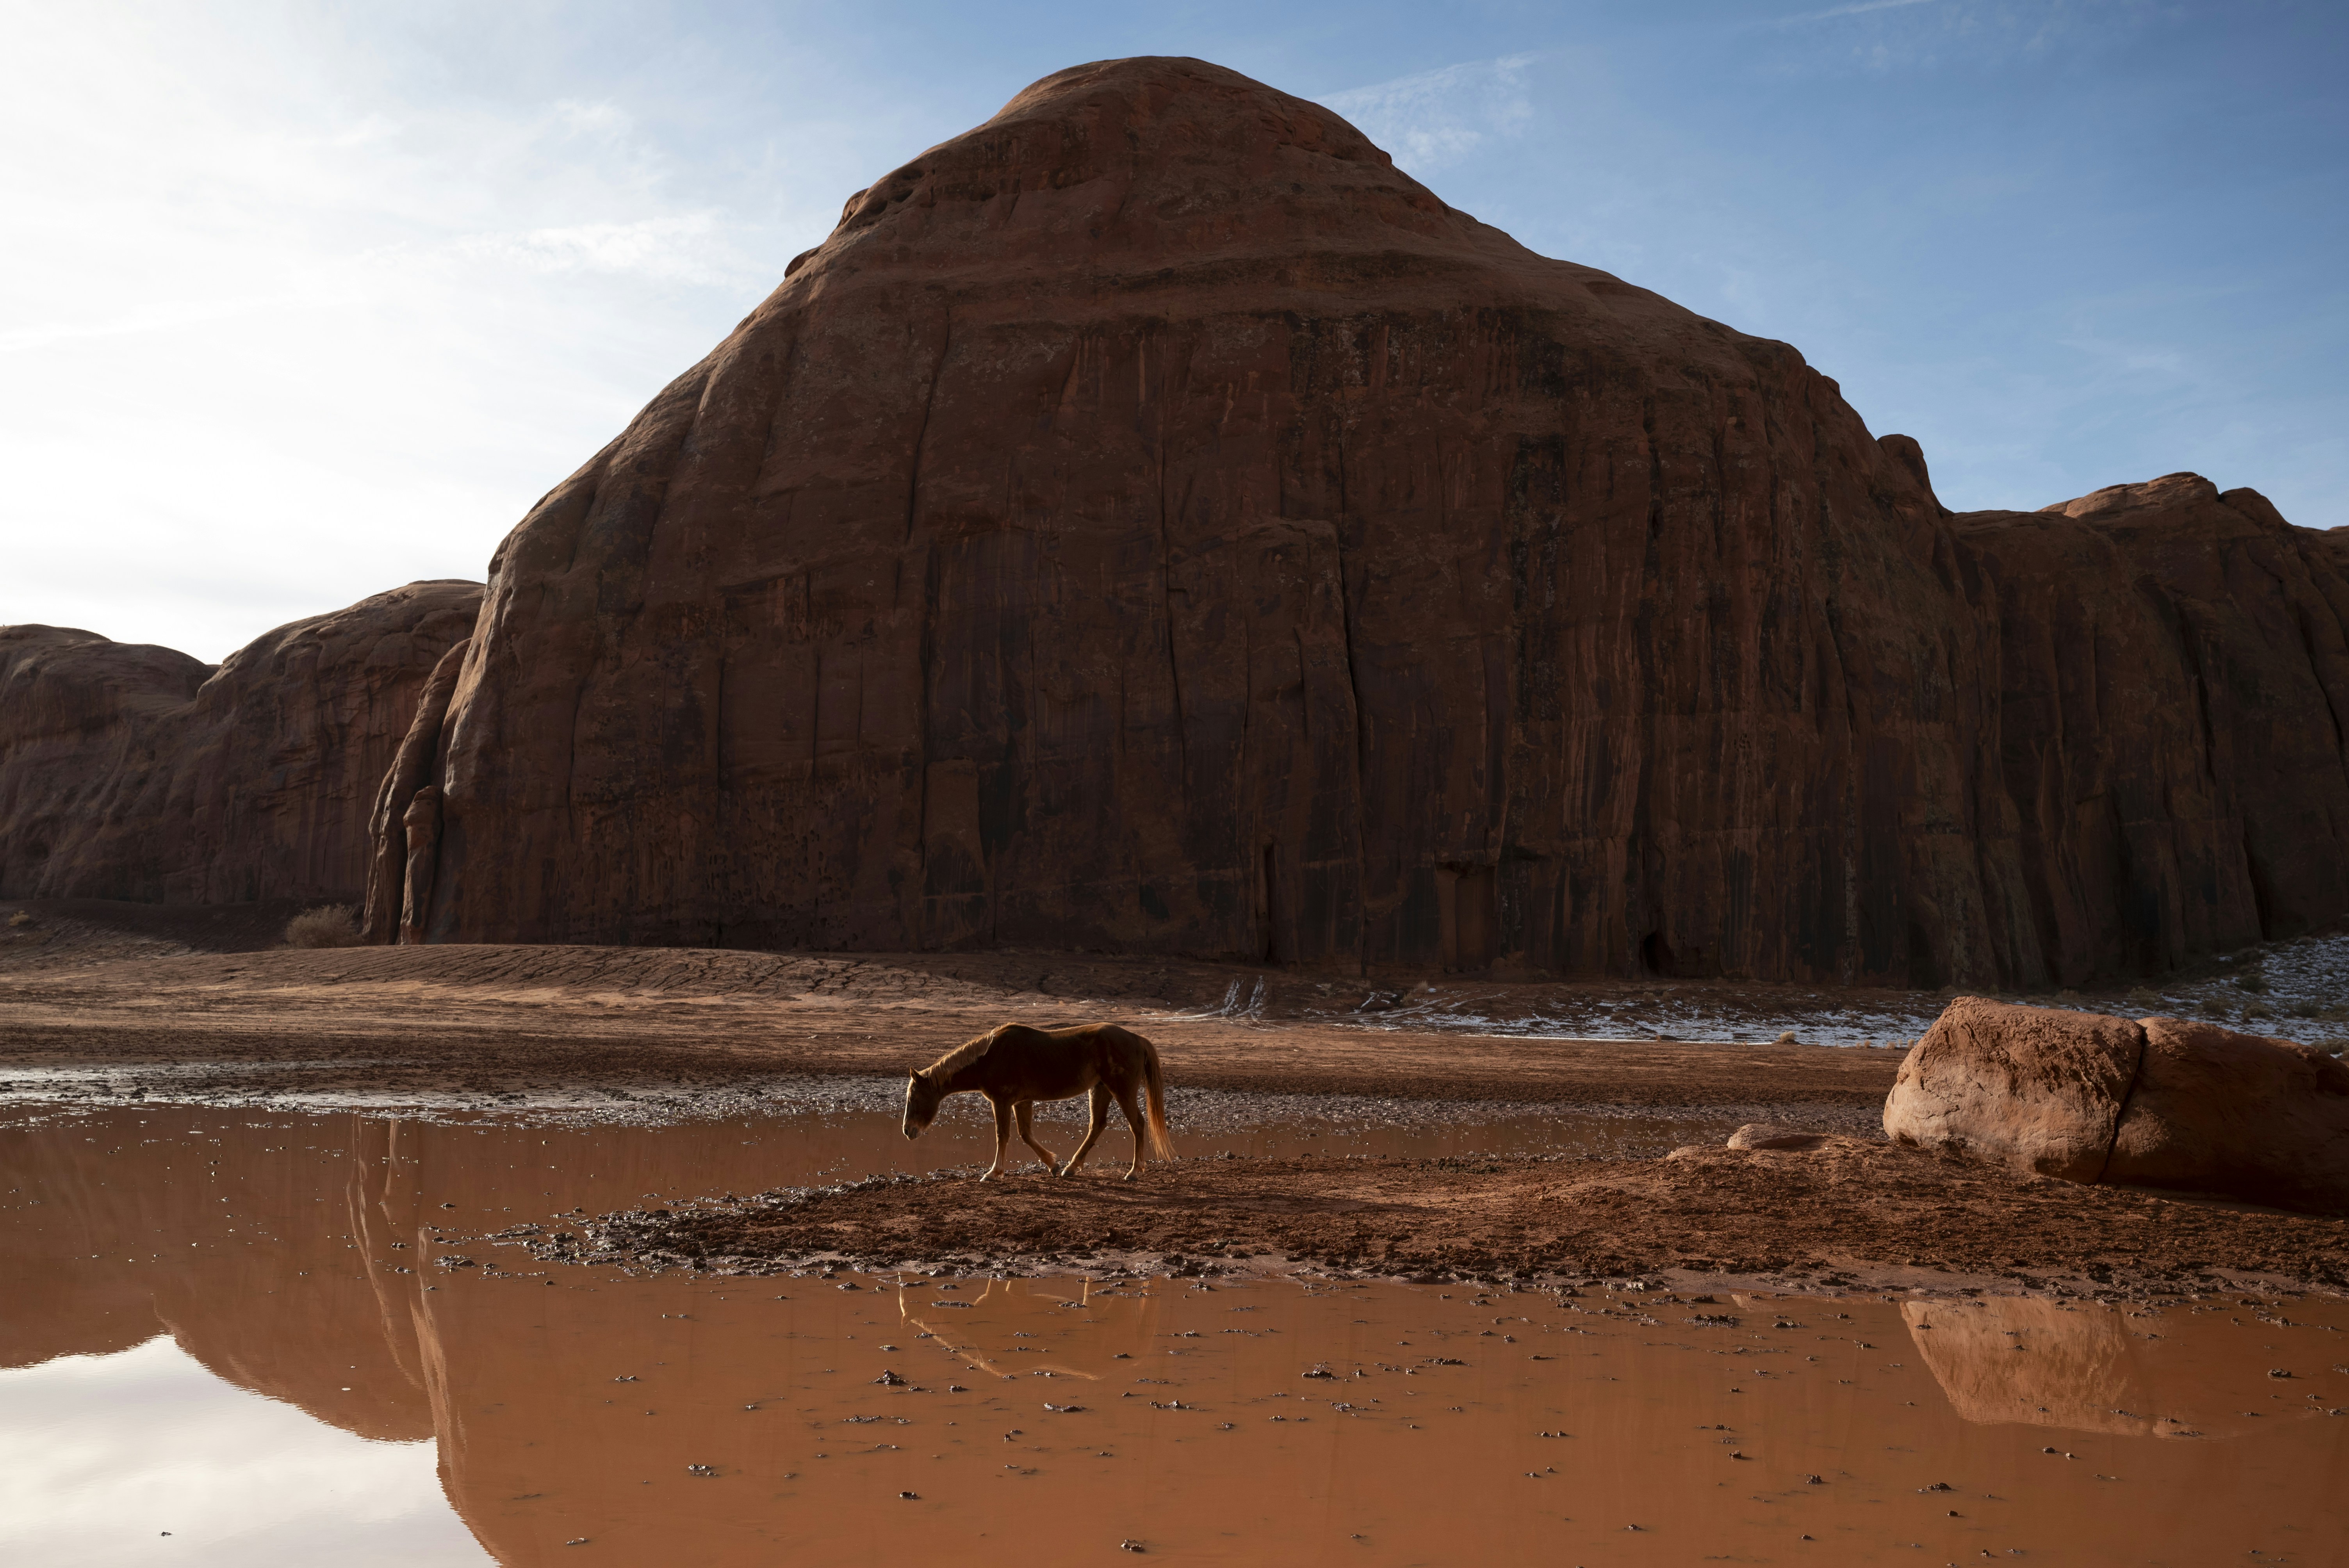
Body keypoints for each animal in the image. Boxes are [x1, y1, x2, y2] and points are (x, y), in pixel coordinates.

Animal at [902, 1022, 1175, 1180]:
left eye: (913, 1097)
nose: (907, 1131)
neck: (989, 1056)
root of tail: (1136, 1039)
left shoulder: (1002, 1101)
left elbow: (1003, 1135)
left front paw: (993, 1173)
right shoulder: (1021, 1102)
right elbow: (1025, 1134)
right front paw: (1053, 1165)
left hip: (1122, 1091)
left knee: (1137, 1124)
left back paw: (1134, 1171)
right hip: (1100, 1090)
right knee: (1097, 1126)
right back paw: (1071, 1168)